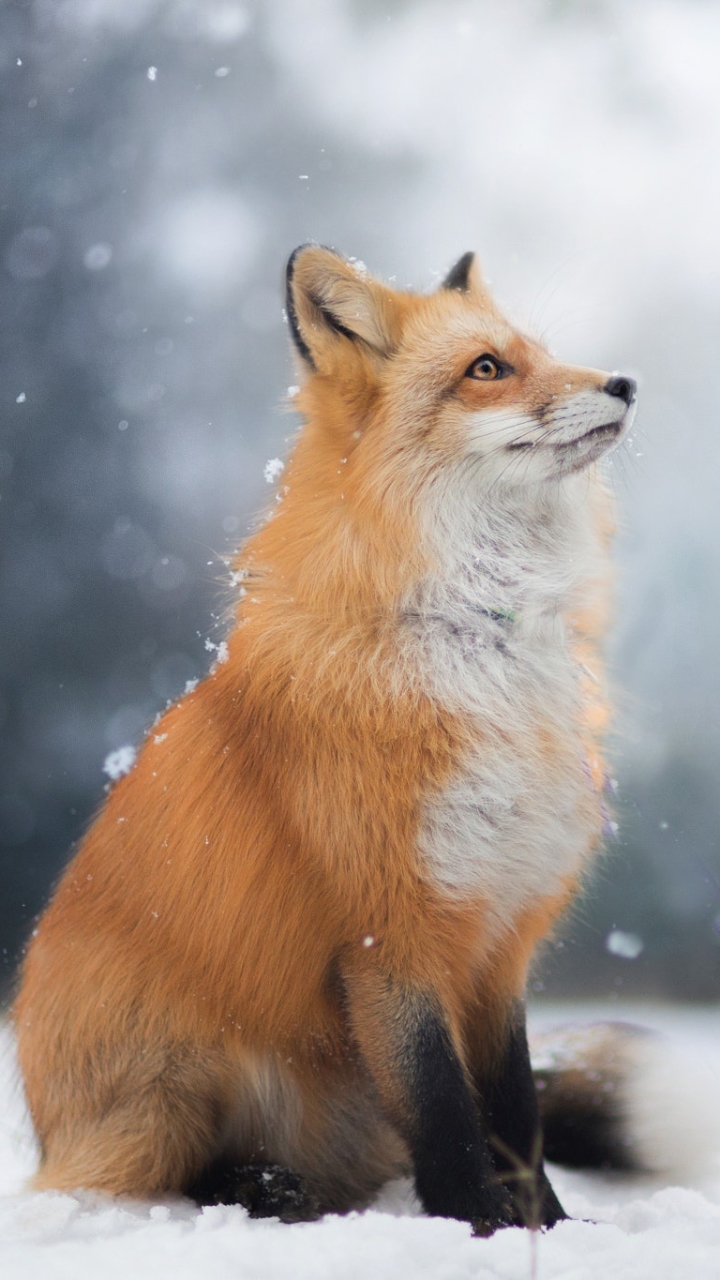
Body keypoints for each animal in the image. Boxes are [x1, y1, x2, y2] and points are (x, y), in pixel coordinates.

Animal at [13, 245, 640, 1235]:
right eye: (487, 369)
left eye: (540, 353)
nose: (624, 382)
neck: (479, 641)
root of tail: (45, 1123)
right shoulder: (388, 935)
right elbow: (445, 1112)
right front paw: (478, 1229)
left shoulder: (500, 939)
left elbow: (515, 1113)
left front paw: (551, 1230)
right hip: (177, 1083)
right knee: (151, 1177)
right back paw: (260, 1189)